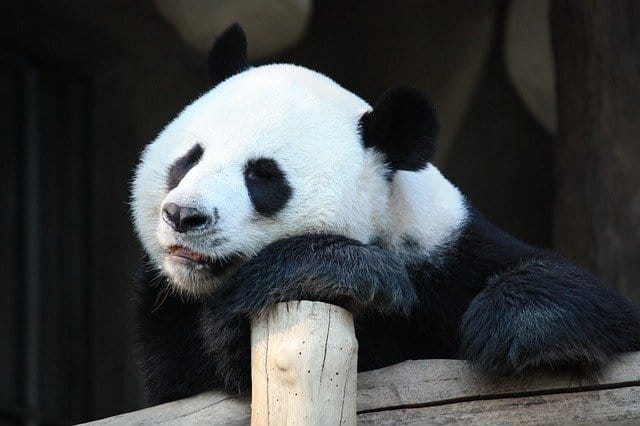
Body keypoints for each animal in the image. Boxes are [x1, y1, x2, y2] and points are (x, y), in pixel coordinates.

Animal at [131, 24, 640, 405]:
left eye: (262, 176)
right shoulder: (166, 311)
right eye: (189, 159)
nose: (184, 215)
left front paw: (514, 326)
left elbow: (597, 305)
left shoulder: (448, 252)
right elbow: (195, 374)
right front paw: (348, 272)